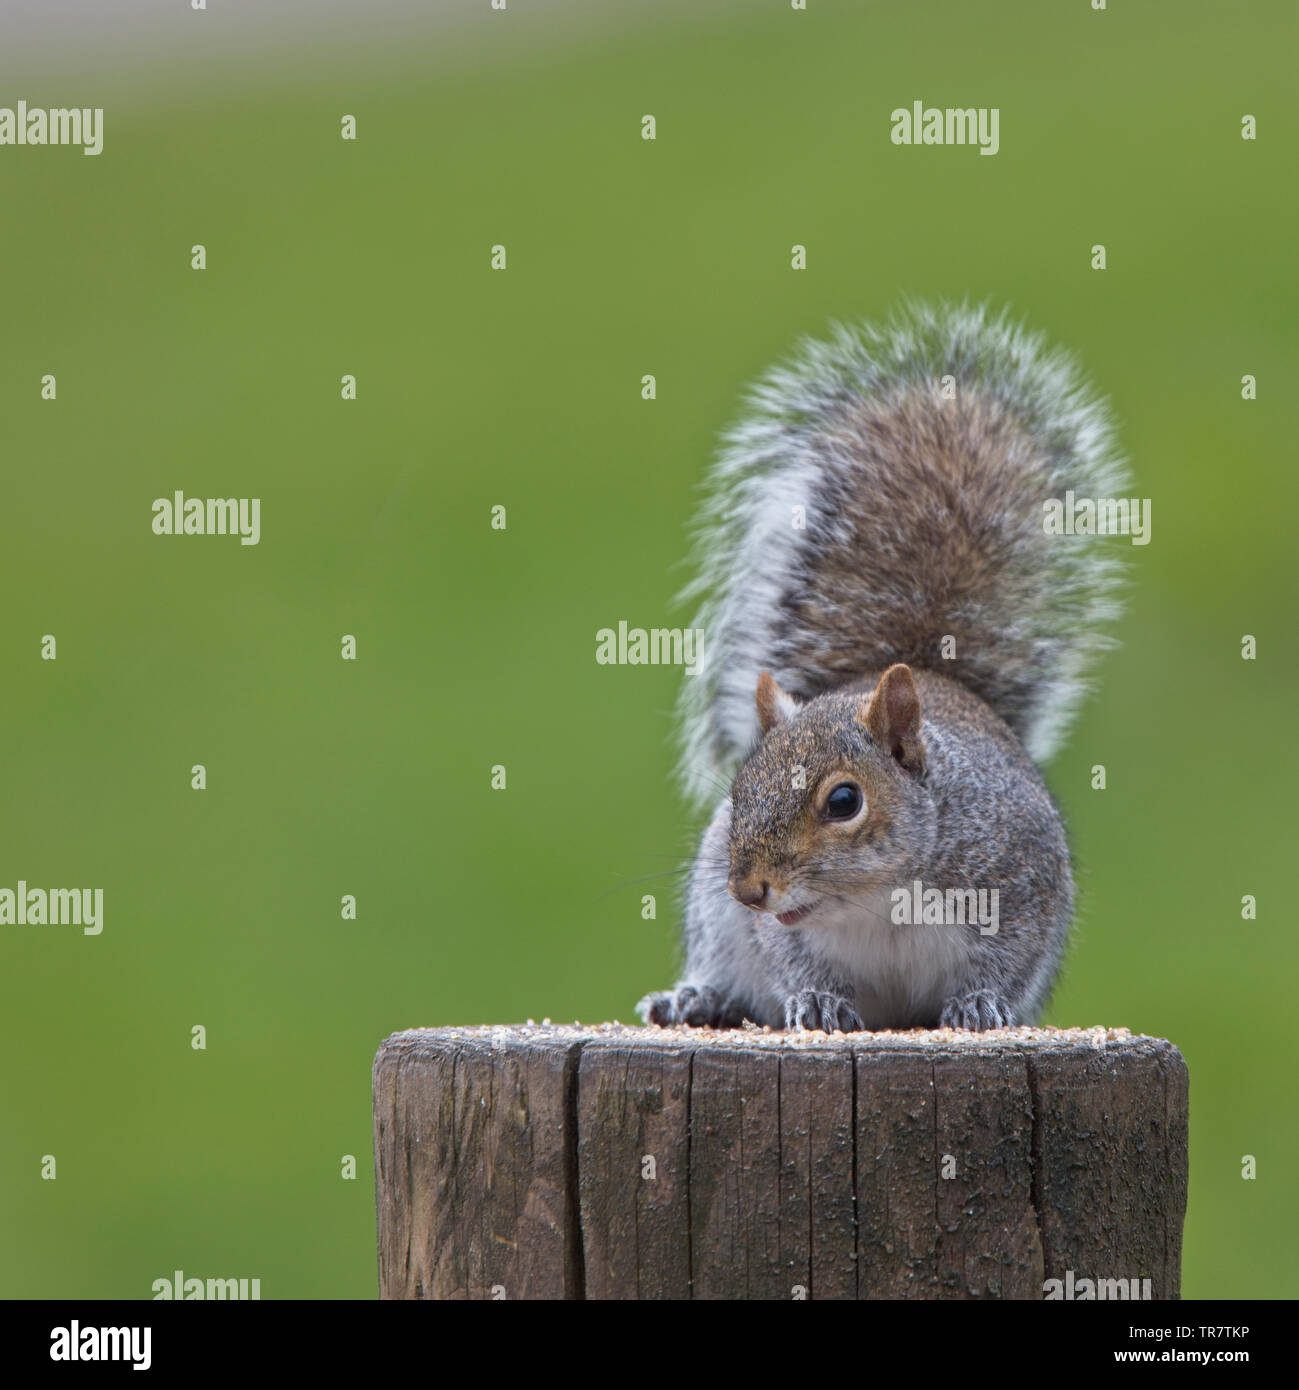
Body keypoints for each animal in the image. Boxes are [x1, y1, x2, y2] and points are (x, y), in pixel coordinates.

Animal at [638, 302, 1128, 1033]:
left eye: (844, 801)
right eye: (737, 794)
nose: (749, 890)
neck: (877, 896)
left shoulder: (1021, 884)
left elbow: (1008, 960)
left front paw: (980, 1004)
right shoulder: (779, 932)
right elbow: (791, 960)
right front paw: (816, 1001)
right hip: (714, 921)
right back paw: (699, 997)